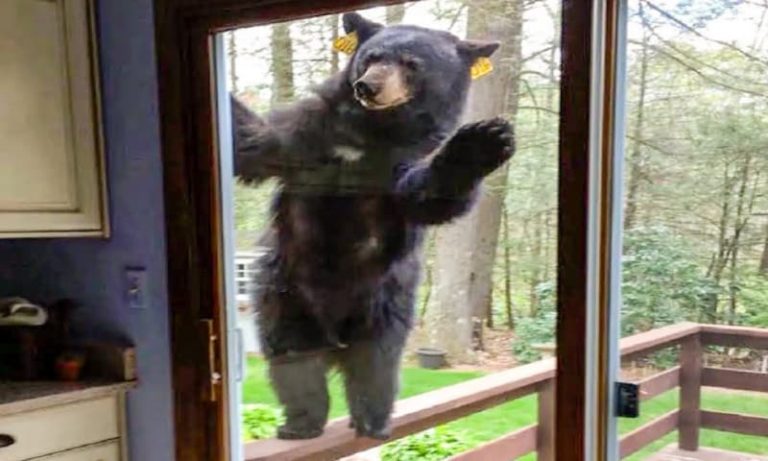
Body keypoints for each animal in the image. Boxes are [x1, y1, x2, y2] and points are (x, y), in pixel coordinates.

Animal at [232, 12, 515, 441]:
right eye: (371, 57)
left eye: (412, 64)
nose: (368, 86)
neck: (372, 133)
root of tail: (333, 340)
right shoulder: (308, 134)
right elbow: (256, 142)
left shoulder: (402, 162)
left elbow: (428, 195)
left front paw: (482, 141)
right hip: (284, 293)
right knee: (292, 360)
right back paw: (301, 422)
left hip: (385, 305)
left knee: (376, 367)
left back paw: (372, 421)